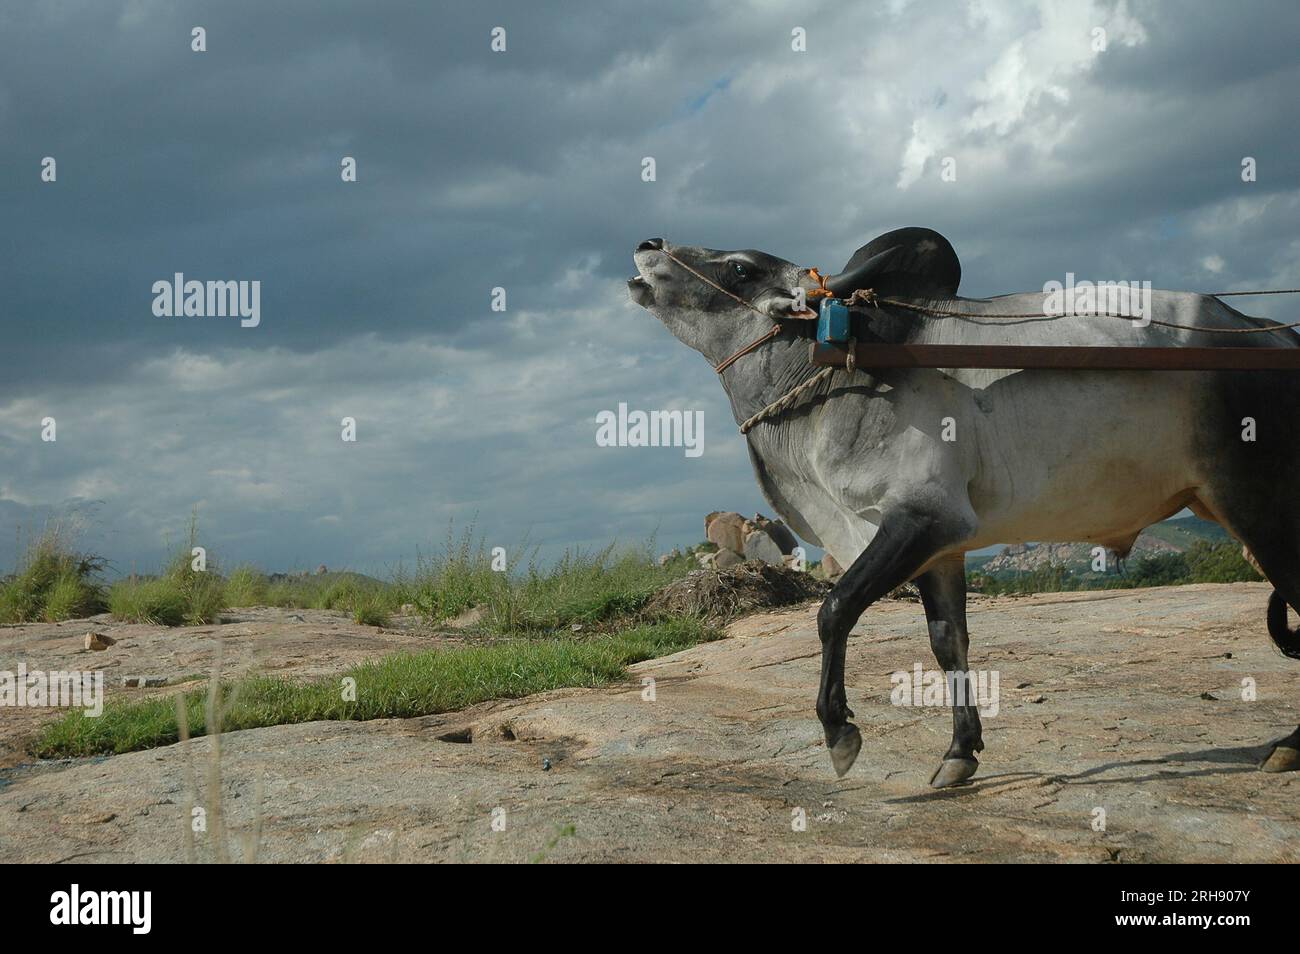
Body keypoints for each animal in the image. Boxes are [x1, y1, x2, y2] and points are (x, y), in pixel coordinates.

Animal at [628, 227, 1300, 787]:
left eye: (741, 268)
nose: (648, 244)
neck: (832, 363)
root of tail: (1273, 329)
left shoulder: (922, 518)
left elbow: (834, 609)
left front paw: (839, 731)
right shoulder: (940, 547)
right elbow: (947, 640)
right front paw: (959, 753)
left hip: (1259, 506)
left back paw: (1289, 744)